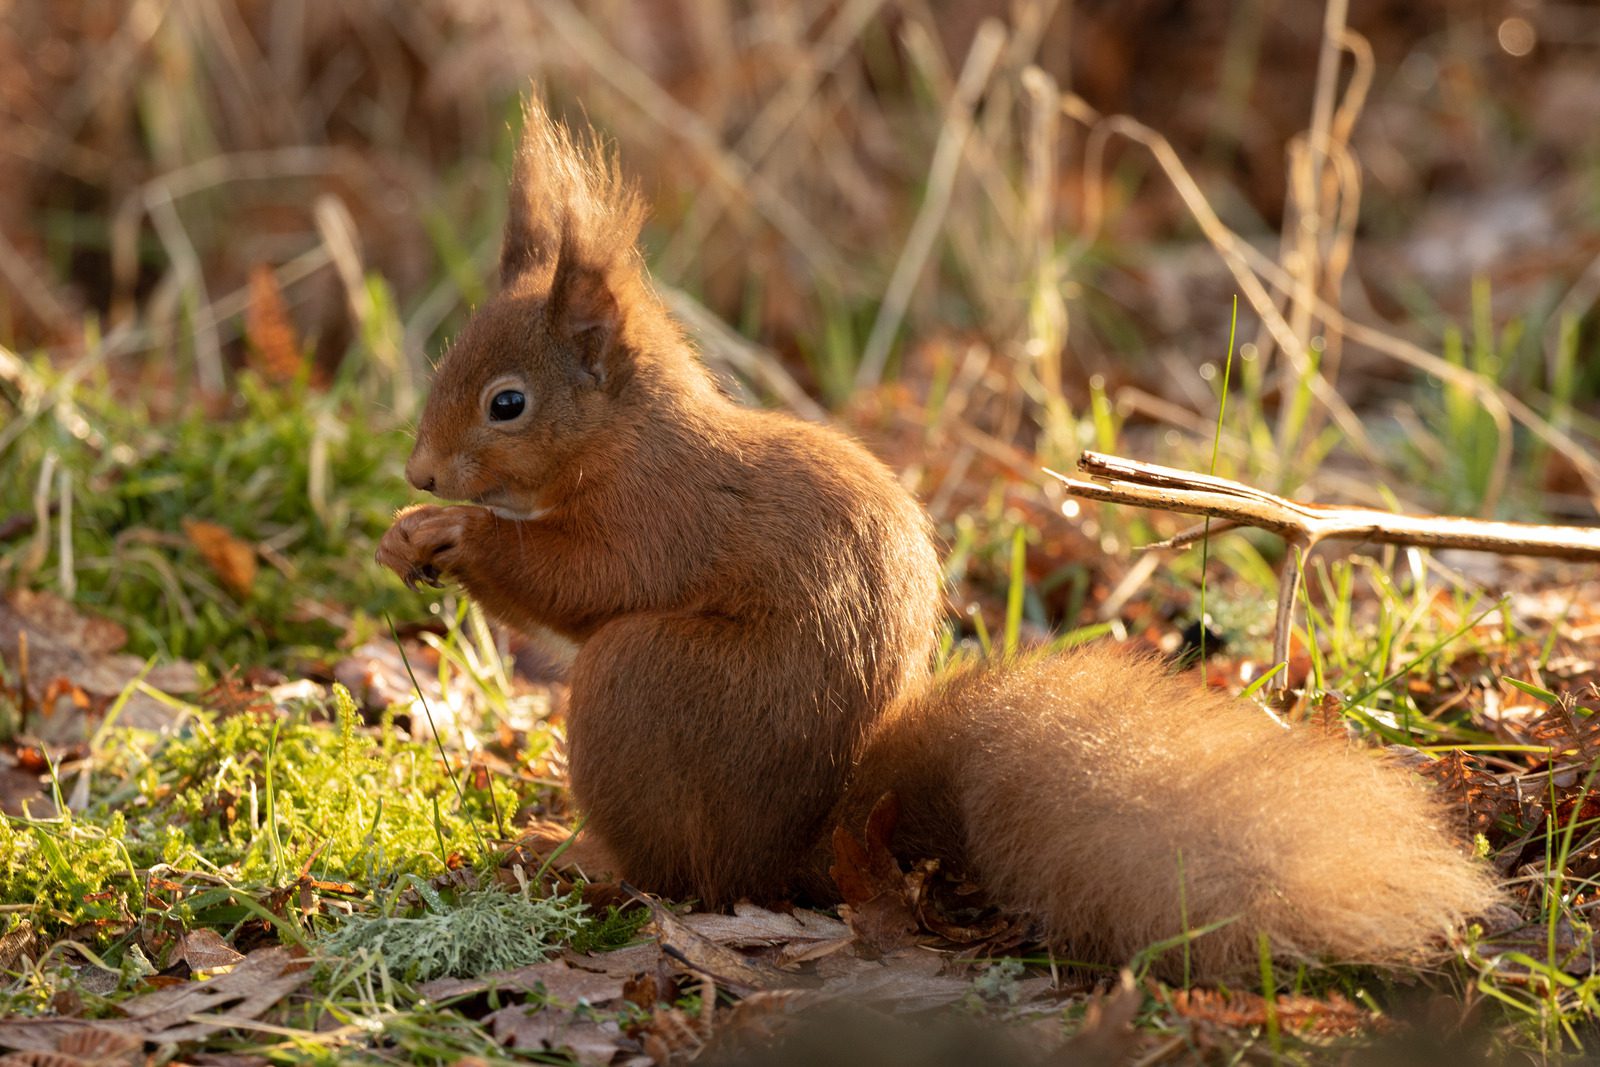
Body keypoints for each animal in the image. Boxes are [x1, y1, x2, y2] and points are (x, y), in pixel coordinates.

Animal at [377, 100, 1501, 980]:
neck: (623, 439)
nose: (419, 474)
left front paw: (453, 535)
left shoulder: (658, 512)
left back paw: (574, 854)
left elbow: (580, 583)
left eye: (508, 403)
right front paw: (402, 536)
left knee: (678, 868)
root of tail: (807, 846)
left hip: (636, 687)